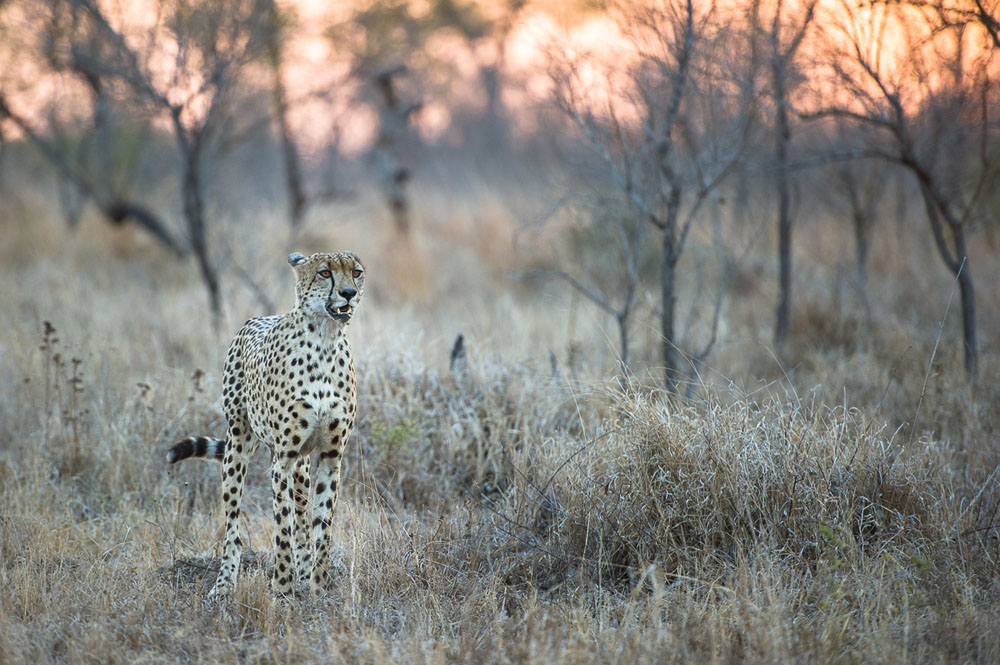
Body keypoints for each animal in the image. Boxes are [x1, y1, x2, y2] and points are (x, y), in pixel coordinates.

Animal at [166, 250, 365, 599]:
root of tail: (256, 319)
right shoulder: (283, 460)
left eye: (356, 272)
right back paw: (224, 584)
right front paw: (282, 589)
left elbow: (321, 525)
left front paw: (318, 589)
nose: (349, 293)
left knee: (302, 518)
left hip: (301, 464)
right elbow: (282, 527)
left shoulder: (330, 456)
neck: (325, 338)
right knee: (233, 525)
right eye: (325, 273)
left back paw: (303, 573)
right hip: (237, 447)